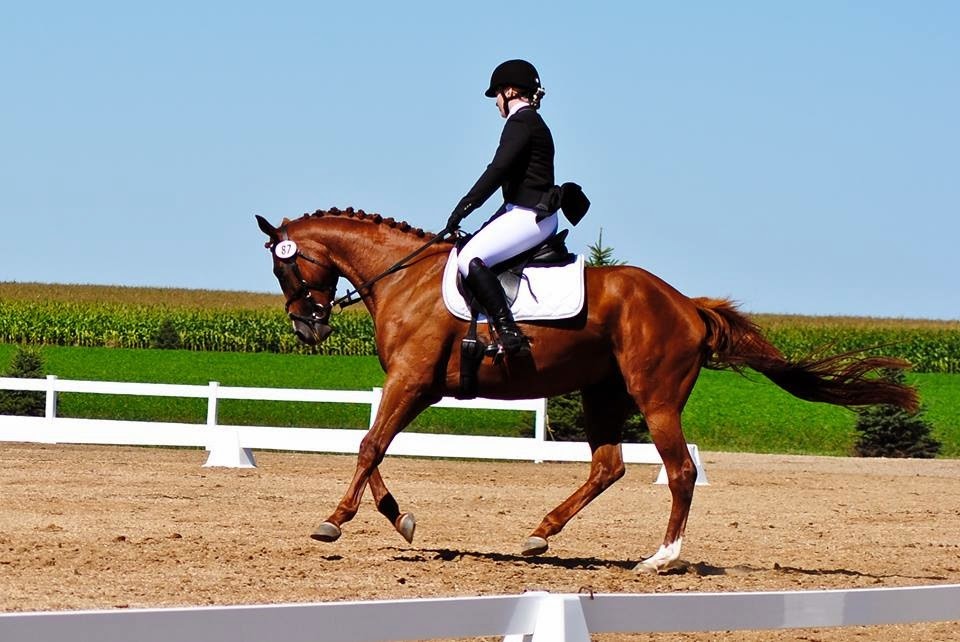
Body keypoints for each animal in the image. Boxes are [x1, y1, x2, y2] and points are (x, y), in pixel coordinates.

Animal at [255, 207, 917, 572]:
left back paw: (661, 559)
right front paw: (402, 520)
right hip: (604, 394)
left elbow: (369, 445)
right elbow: (376, 448)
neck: (405, 277)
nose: (307, 326)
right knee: (608, 466)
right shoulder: (415, 386)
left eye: (284, 266)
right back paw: (539, 535)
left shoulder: (412, 380)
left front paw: (333, 522)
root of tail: (689, 305)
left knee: (679, 471)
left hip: (655, 398)